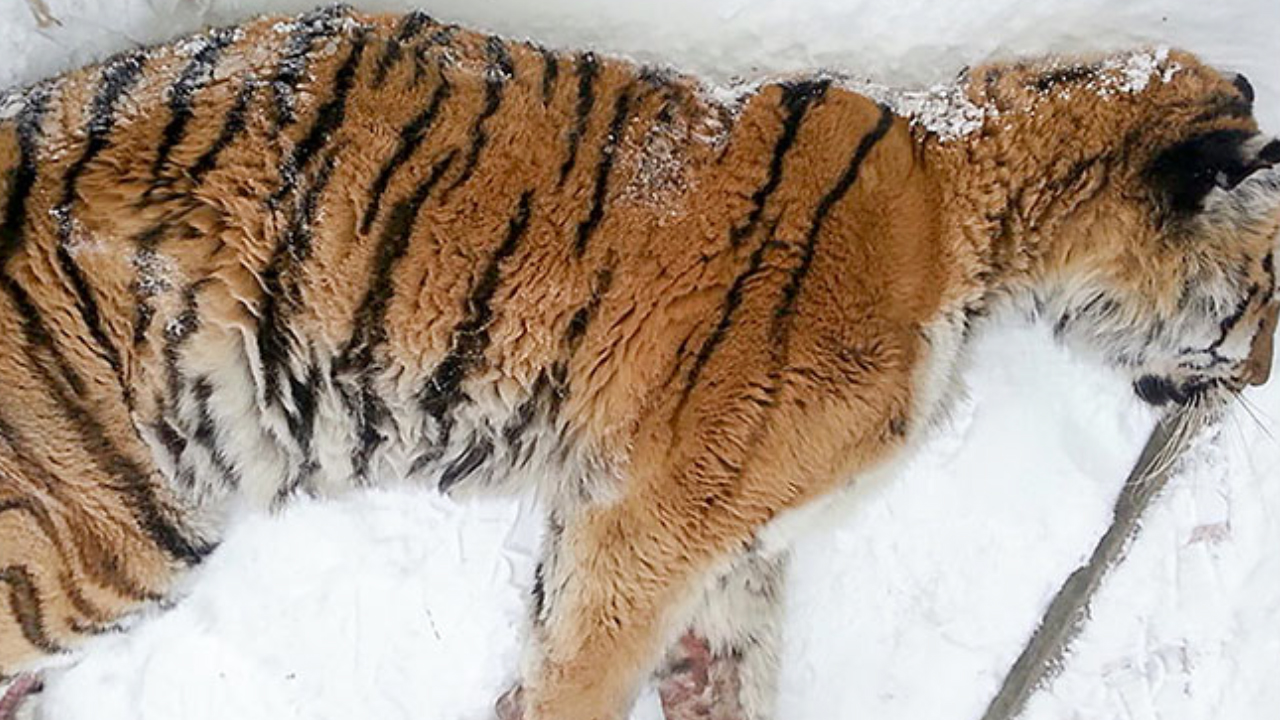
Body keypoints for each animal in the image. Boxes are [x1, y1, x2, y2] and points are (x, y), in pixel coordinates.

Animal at [0, 4, 1277, 720]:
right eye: (1265, 297)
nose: (1260, 384)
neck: (979, 218)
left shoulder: (719, 537)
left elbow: (725, 665)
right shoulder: (659, 512)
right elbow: (589, 668)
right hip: (99, 524)